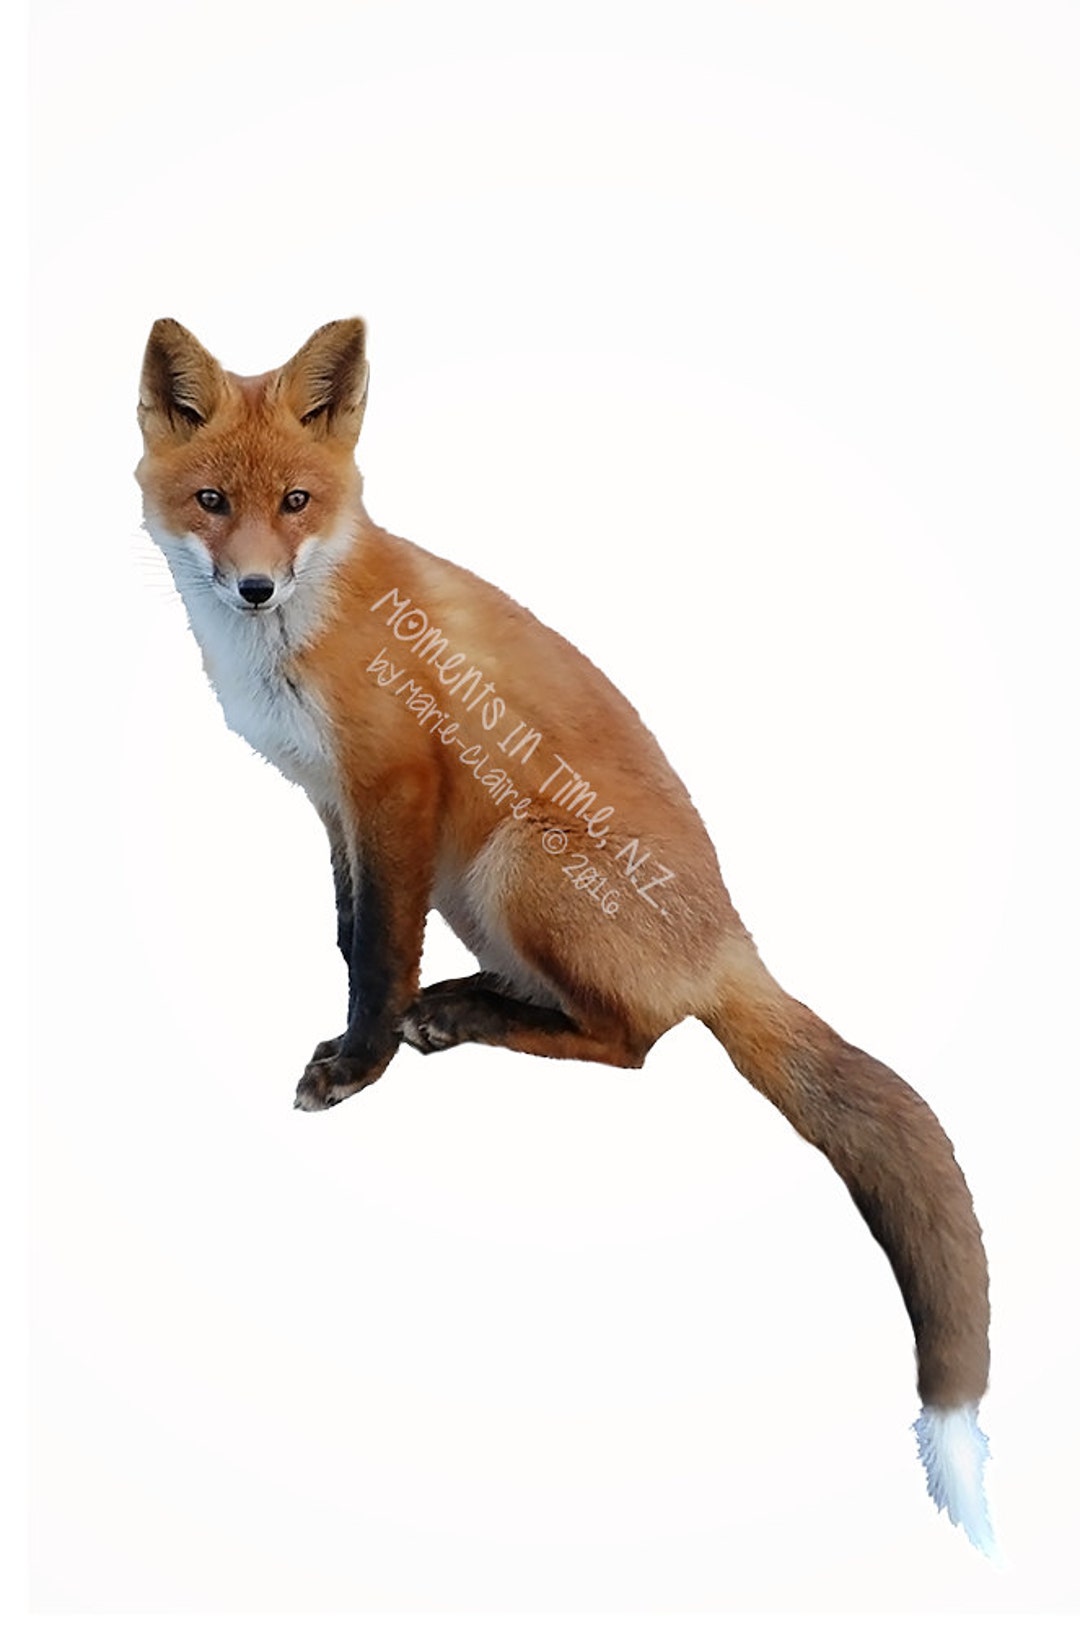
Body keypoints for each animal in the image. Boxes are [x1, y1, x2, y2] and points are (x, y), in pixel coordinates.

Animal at [136, 315, 994, 1555]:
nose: (254, 586)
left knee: (632, 1042)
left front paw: (360, 1064)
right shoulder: (335, 807)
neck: (307, 630)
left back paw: (464, 1017)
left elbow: (376, 954)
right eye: (210, 500)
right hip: (487, 885)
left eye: (296, 501)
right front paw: (367, 1041)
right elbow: (349, 935)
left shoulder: (396, 790)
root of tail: (730, 942)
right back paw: (470, 1005)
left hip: (516, 862)